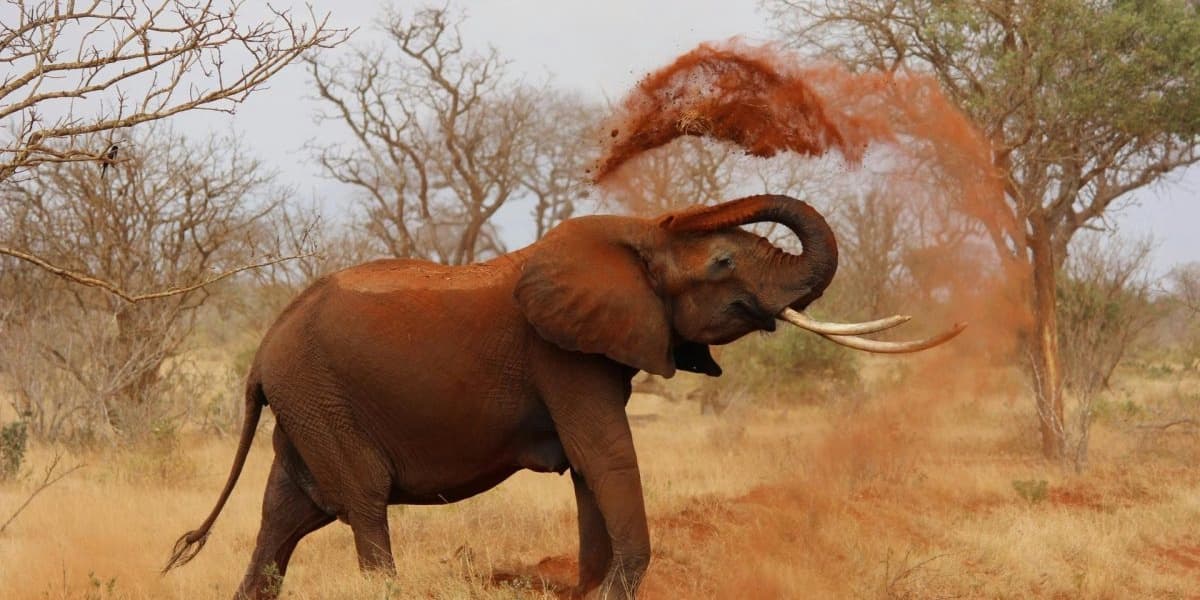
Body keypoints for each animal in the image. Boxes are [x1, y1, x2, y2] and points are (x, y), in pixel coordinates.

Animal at [163, 194, 961, 599]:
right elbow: (606, 457)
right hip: (320, 398)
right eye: (723, 262)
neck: (630, 238)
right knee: (360, 504)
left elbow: (588, 471)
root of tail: (261, 351)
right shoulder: (561, 356)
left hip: (306, 404)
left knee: (285, 517)